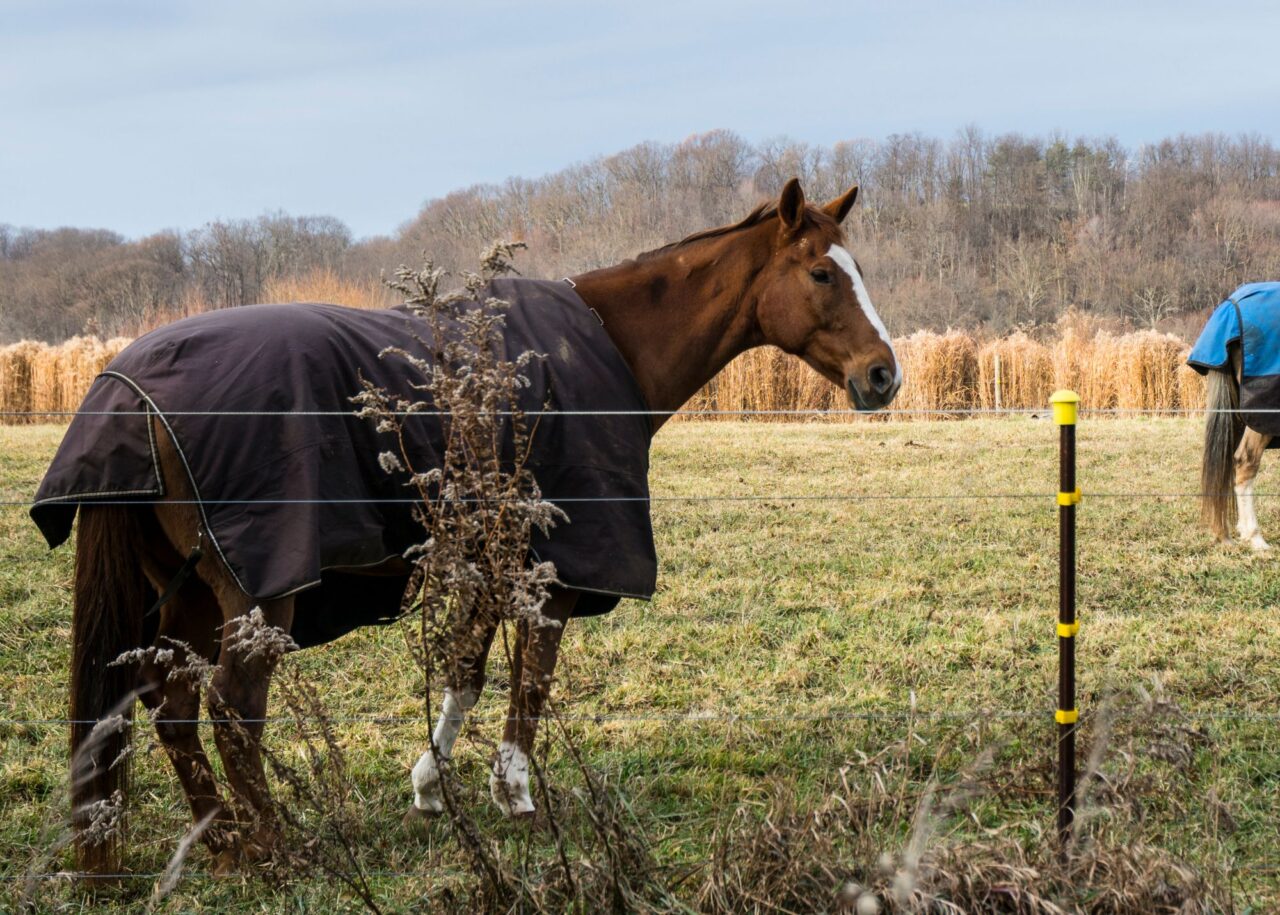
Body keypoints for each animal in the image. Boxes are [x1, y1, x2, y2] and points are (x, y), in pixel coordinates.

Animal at [37, 177, 901, 875]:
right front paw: (514, 789)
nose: (884, 374)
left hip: (183, 594)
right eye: (822, 272)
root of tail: (125, 388)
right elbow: (532, 675)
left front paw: (430, 781)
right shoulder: (554, 563)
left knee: (173, 709)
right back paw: (276, 845)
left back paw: (221, 840)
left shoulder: (488, 555)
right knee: (231, 711)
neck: (604, 345)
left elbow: (465, 664)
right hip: (254, 597)